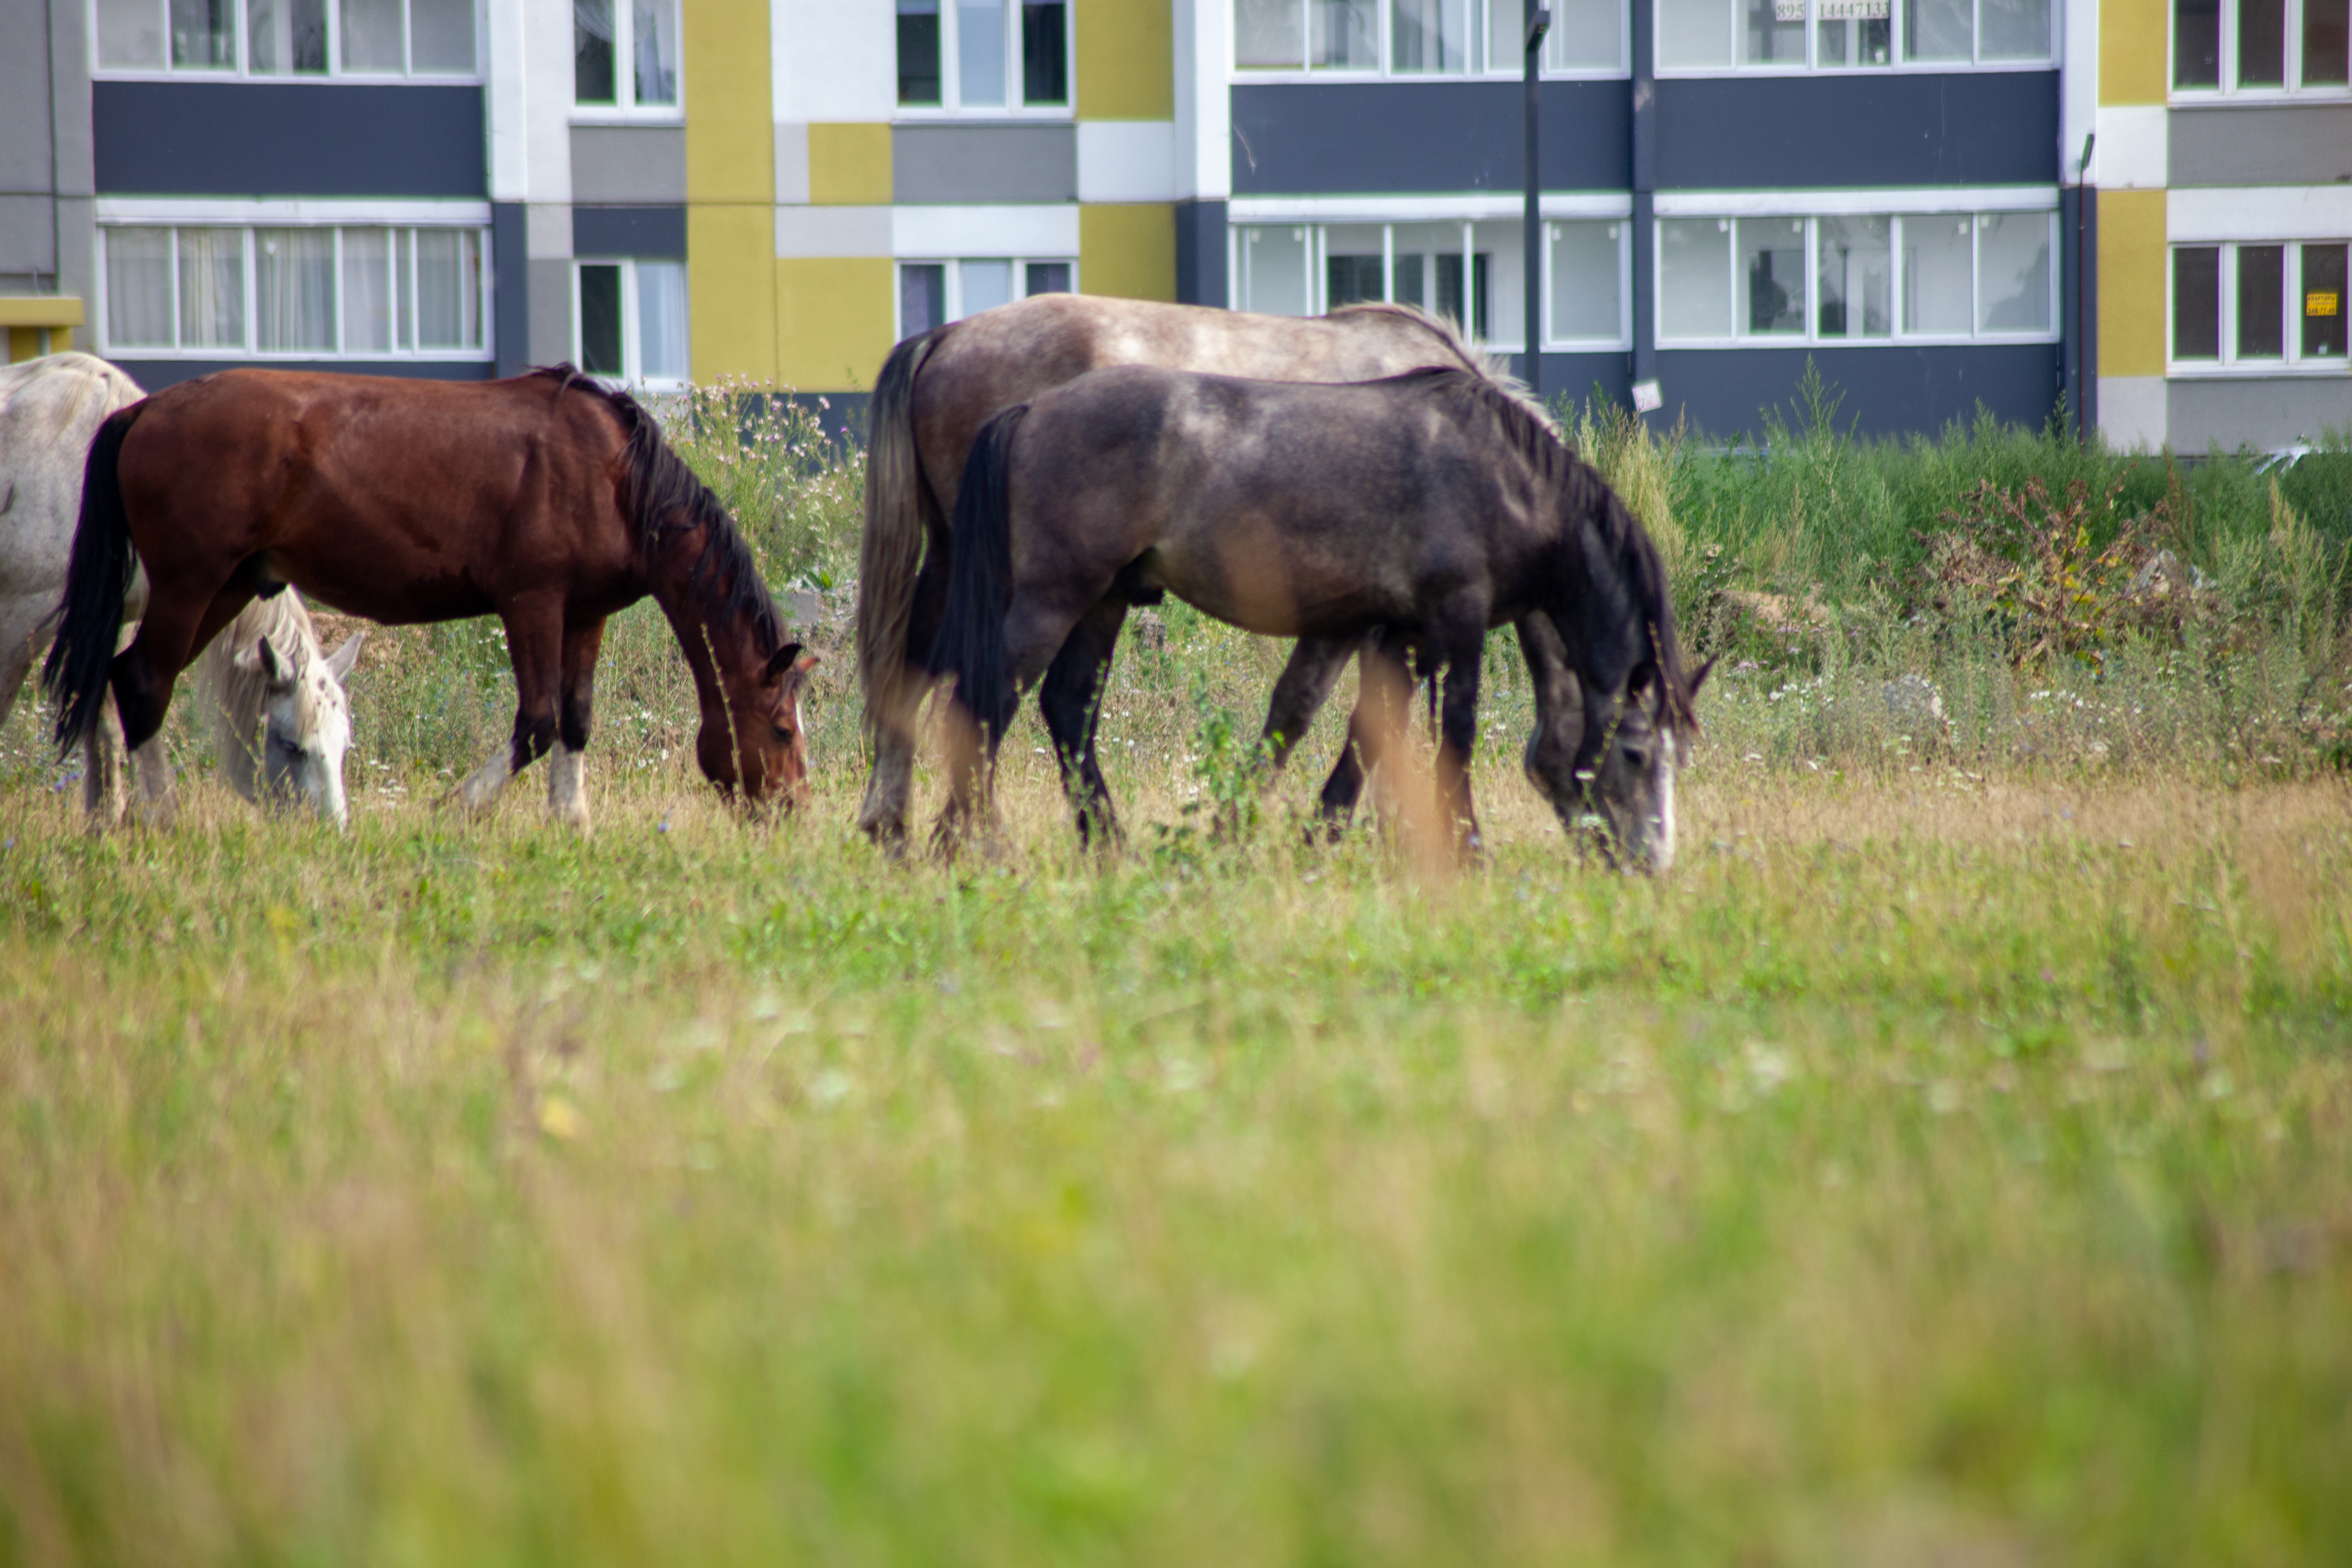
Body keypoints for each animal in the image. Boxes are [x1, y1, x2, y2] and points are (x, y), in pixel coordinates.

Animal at [0, 352, 362, 823]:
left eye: (343, 747)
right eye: (292, 745)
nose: (331, 830)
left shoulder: (108, 624)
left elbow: (108, 720)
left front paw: (105, 823)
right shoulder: (21, 621)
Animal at [46, 369, 818, 832]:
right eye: (783, 730)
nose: (793, 808)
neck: (615, 477)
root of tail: (143, 411)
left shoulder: (584, 612)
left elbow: (575, 720)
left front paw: (572, 824)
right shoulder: (532, 602)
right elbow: (538, 722)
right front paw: (456, 807)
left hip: (231, 583)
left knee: (129, 676)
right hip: (191, 582)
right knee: (144, 683)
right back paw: (161, 816)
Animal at [922, 369, 1712, 879]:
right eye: (1636, 753)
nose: (1653, 865)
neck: (1506, 479)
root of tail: (1031, 408)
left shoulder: (1384, 628)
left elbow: (1354, 728)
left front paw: (1305, 837)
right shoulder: (1456, 618)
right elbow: (1454, 734)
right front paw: (1469, 849)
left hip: (1104, 599)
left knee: (1067, 706)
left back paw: (1108, 847)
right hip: (1055, 596)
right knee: (988, 705)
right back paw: (967, 845)